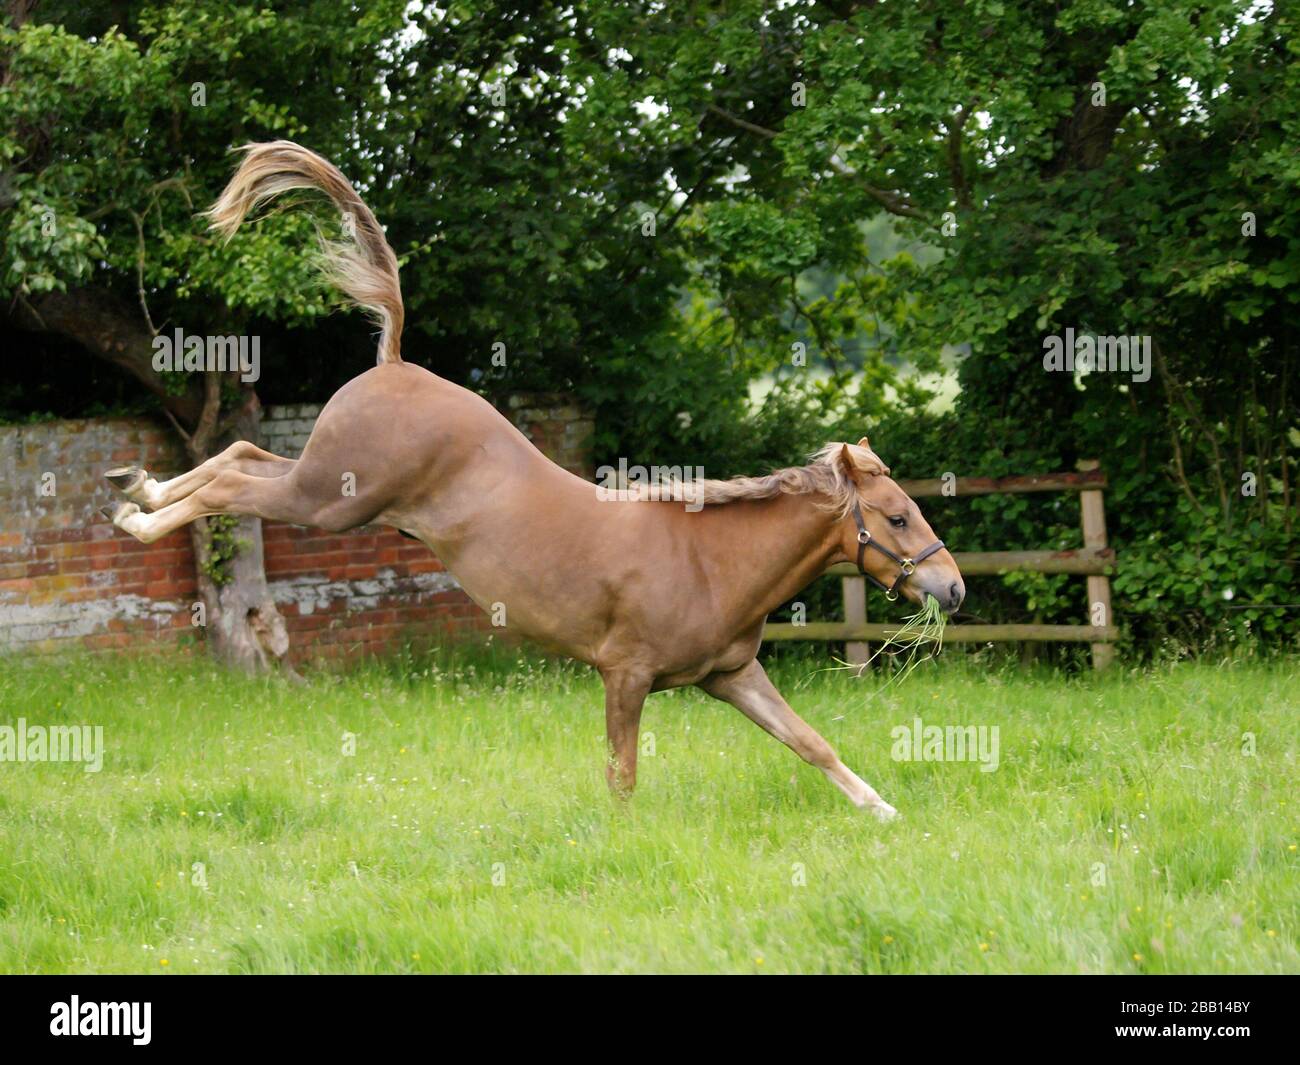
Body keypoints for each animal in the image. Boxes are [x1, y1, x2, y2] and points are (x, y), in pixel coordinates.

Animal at [101, 142, 965, 819]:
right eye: (896, 517)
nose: (953, 588)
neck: (709, 560)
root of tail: (394, 360)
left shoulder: (733, 677)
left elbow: (812, 742)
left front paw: (883, 811)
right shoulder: (626, 674)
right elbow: (622, 775)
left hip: (324, 487)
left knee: (239, 456)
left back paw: (136, 488)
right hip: (330, 500)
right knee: (229, 485)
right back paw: (138, 511)